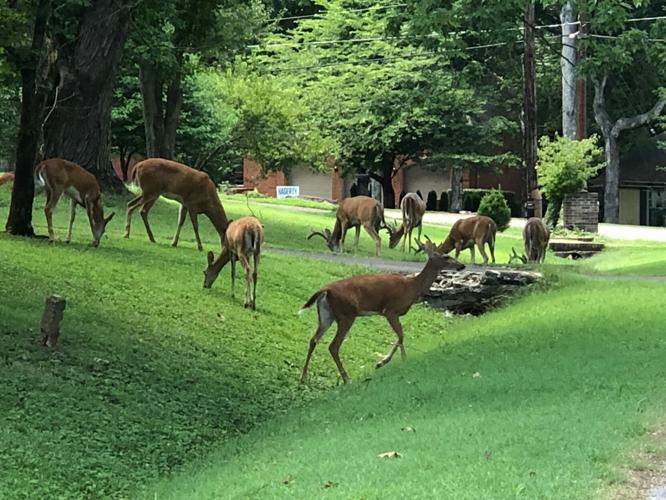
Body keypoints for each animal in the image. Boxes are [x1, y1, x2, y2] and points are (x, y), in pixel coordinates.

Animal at [299, 239, 465, 384]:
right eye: (446, 256)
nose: (462, 265)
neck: (413, 287)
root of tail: (325, 290)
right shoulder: (390, 310)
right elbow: (401, 335)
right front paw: (386, 361)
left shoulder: (393, 313)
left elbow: (399, 336)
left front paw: (394, 360)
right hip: (346, 314)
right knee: (333, 346)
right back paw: (346, 378)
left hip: (327, 315)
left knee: (313, 339)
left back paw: (303, 377)